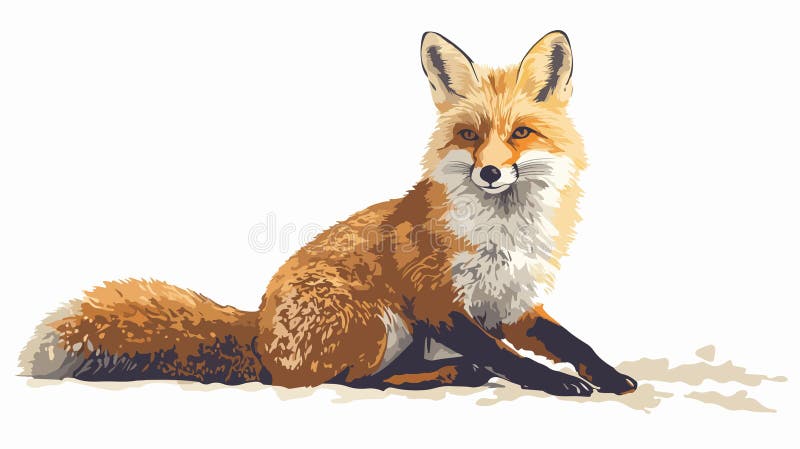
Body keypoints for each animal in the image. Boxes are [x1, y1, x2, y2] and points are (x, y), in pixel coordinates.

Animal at [20, 31, 637, 396]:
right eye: (469, 135)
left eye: (520, 133)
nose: (489, 173)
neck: (502, 232)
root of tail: (258, 329)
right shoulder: (437, 303)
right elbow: (510, 357)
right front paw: (554, 384)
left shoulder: (511, 303)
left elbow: (573, 345)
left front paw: (610, 376)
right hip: (382, 321)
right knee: (365, 381)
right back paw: (453, 371)